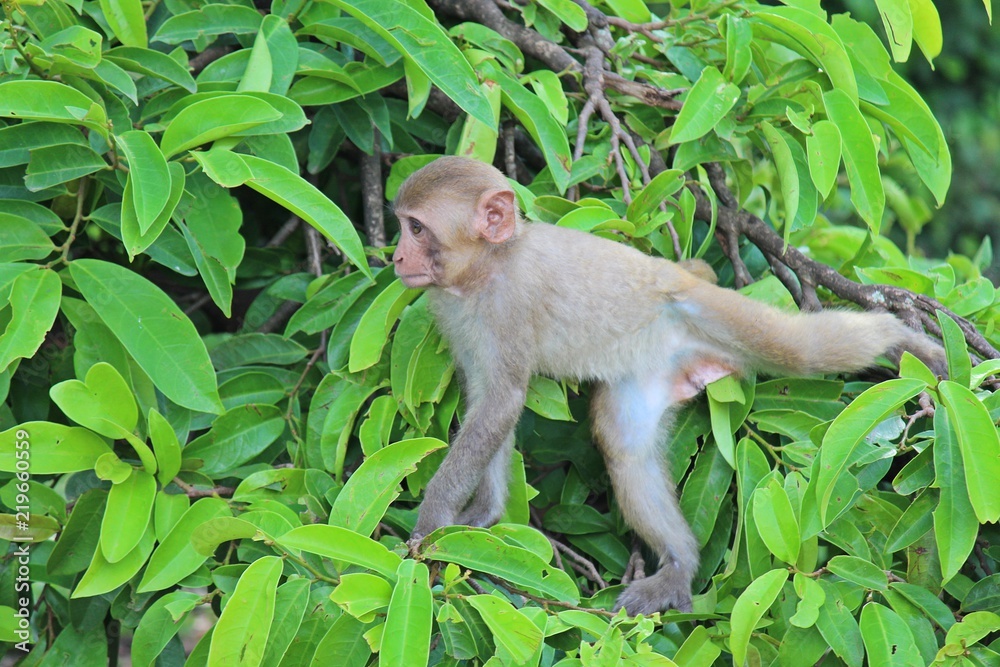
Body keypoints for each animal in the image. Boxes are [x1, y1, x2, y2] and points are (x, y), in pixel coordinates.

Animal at [391, 155, 945, 615]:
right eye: (402, 225)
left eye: (416, 228)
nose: (395, 258)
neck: (485, 269)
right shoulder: (454, 316)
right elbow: (489, 406)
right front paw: (483, 513)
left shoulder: (508, 305)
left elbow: (502, 404)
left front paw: (431, 526)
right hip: (651, 368)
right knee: (625, 448)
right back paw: (679, 565)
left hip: (714, 309)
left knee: (802, 349)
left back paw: (904, 339)